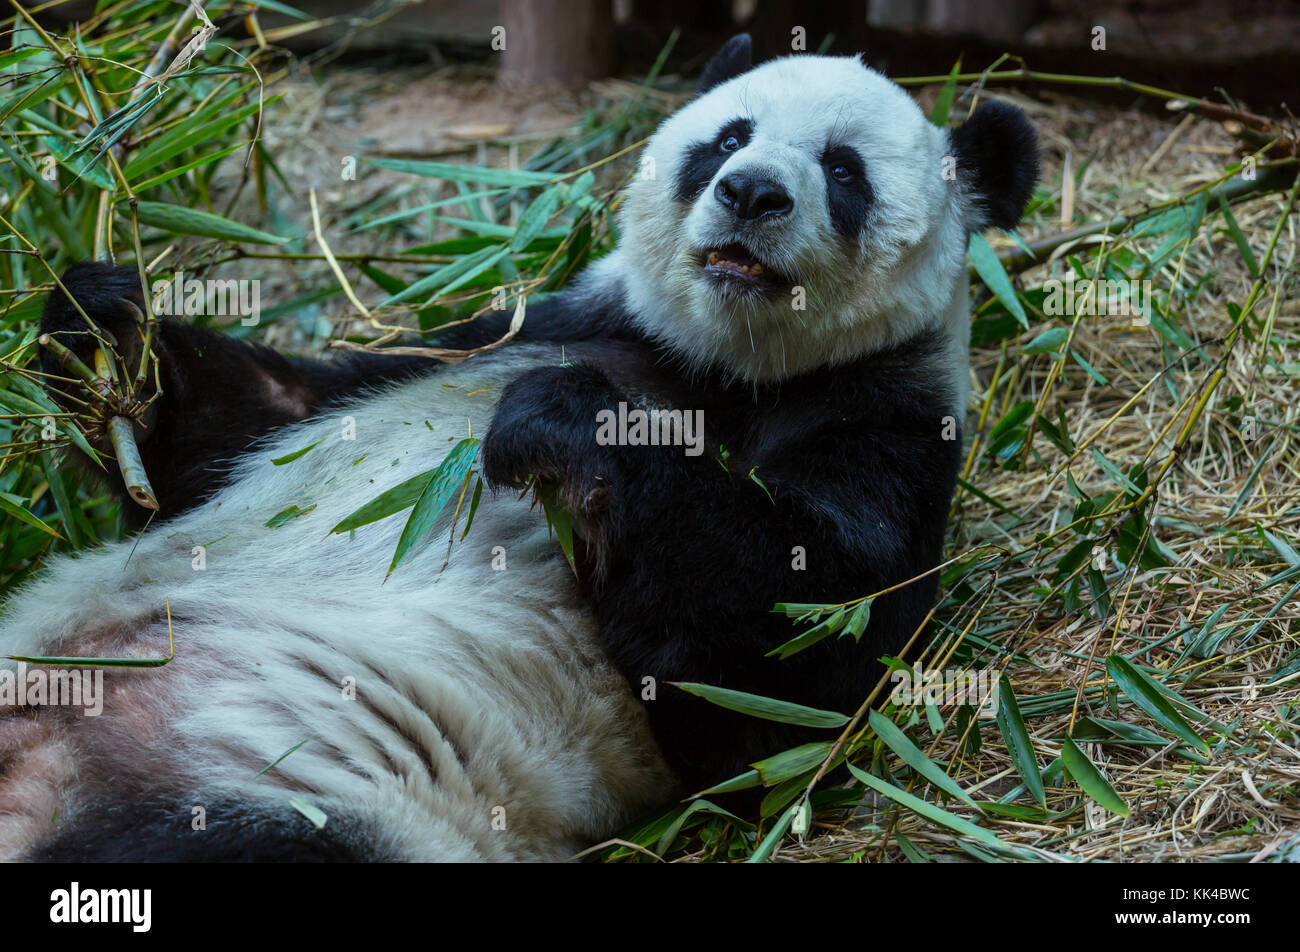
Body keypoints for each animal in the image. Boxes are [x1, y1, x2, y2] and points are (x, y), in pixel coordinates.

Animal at [0, 35, 1037, 861]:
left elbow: (782, 670)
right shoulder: (531, 327)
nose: (750, 192)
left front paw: (568, 423)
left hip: (284, 782)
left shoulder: (886, 430)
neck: (721, 364)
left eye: (845, 169)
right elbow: (246, 432)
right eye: (728, 138)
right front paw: (101, 328)